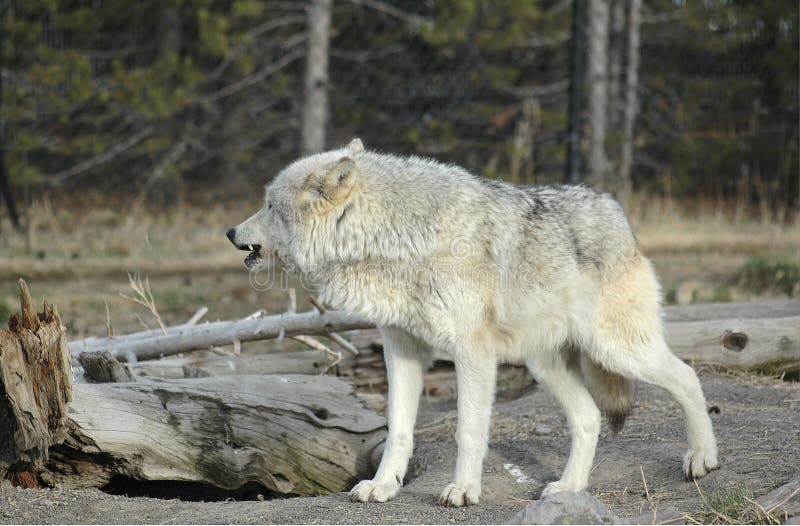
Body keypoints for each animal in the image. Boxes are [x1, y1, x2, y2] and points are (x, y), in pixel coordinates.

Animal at [226, 138, 719, 506]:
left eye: (268, 205)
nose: (230, 232)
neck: (395, 236)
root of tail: (619, 214)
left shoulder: (472, 353)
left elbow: (467, 430)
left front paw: (464, 491)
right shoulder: (401, 351)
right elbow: (398, 429)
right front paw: (383, 487)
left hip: (617, 350)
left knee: (688, 377)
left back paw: (702, 459)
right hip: (546, 366)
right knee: (589, 417)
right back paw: (569, 487)